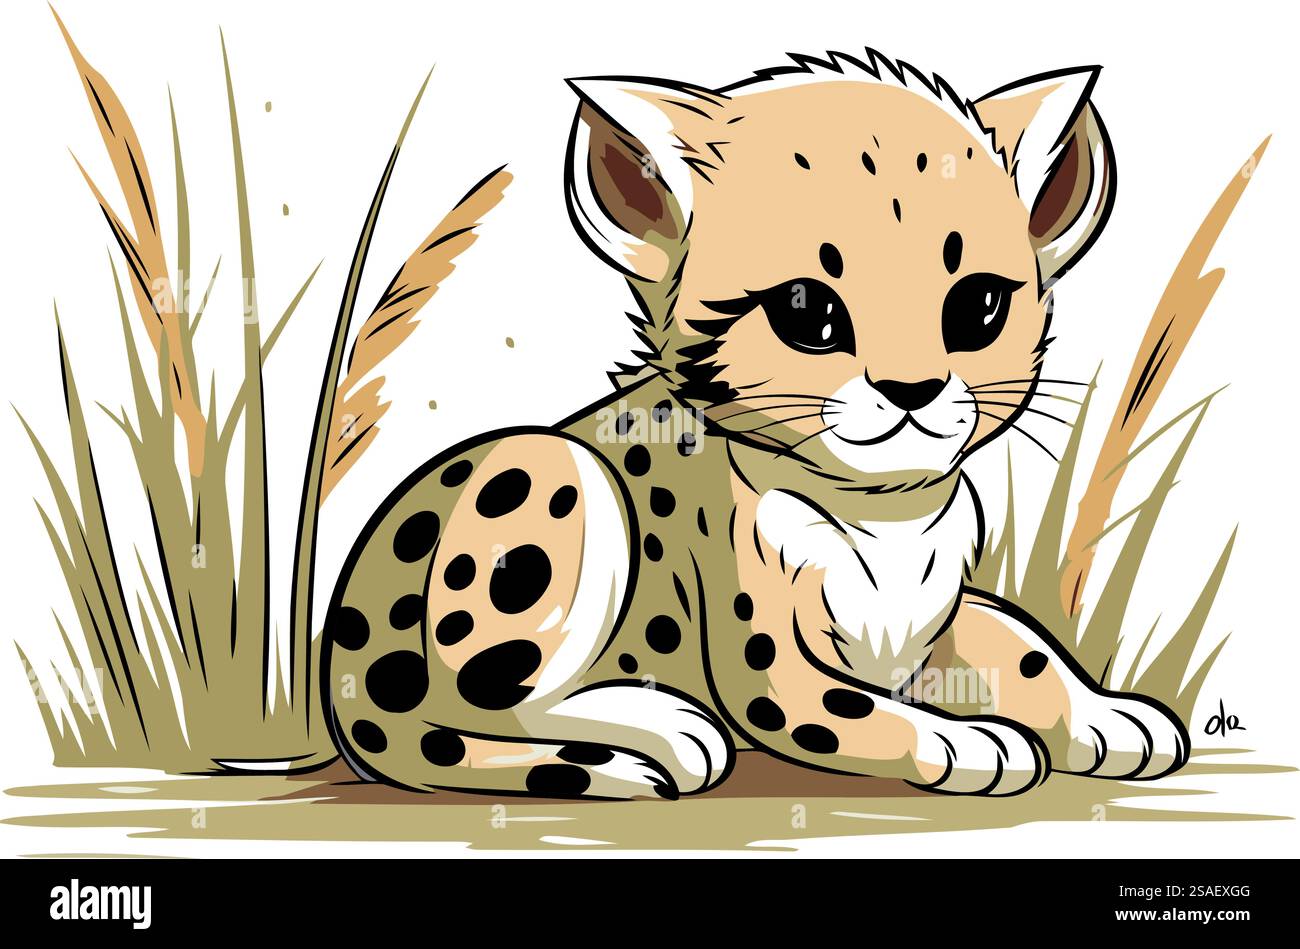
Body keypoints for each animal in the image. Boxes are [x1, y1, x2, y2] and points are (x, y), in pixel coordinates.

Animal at [320, 48, 1190, 799]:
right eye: (808, 312)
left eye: (977, 306)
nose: (911, 388)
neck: (881, 514)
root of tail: (340, 664)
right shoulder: (768, 669)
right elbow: (852, 708)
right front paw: (961, 738)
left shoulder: (931, 625)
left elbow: (1022, 640)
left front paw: (1104, 712)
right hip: (550, 472)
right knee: (481, 701)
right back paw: (660, 728)